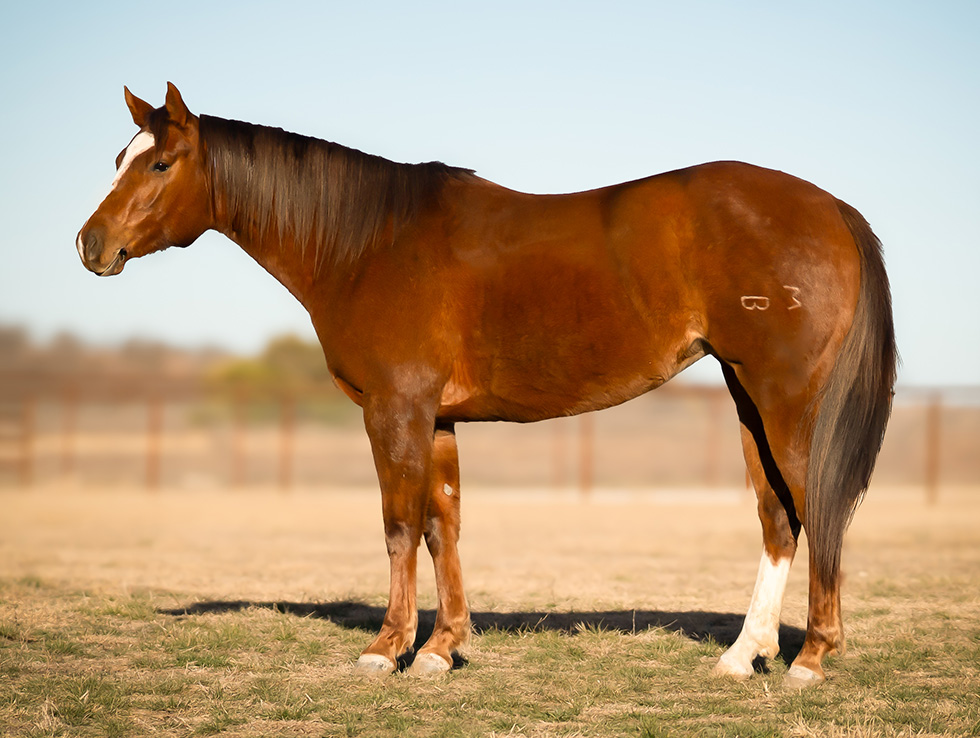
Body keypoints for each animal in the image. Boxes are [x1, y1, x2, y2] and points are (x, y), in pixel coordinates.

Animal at [77, 83, 896, 688]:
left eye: (159, 165)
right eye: (118, 156)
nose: (90, 244)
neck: (369, 242)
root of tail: (832, 209)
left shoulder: (395, 410)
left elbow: (398, 525)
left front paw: (385, 650)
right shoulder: (436, 418)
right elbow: (444, 525)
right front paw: (442, 649)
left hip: (786, 400)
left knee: (817, 509)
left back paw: (811, 658)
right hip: (748, 398)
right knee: (778, 517)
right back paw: (742, 655)